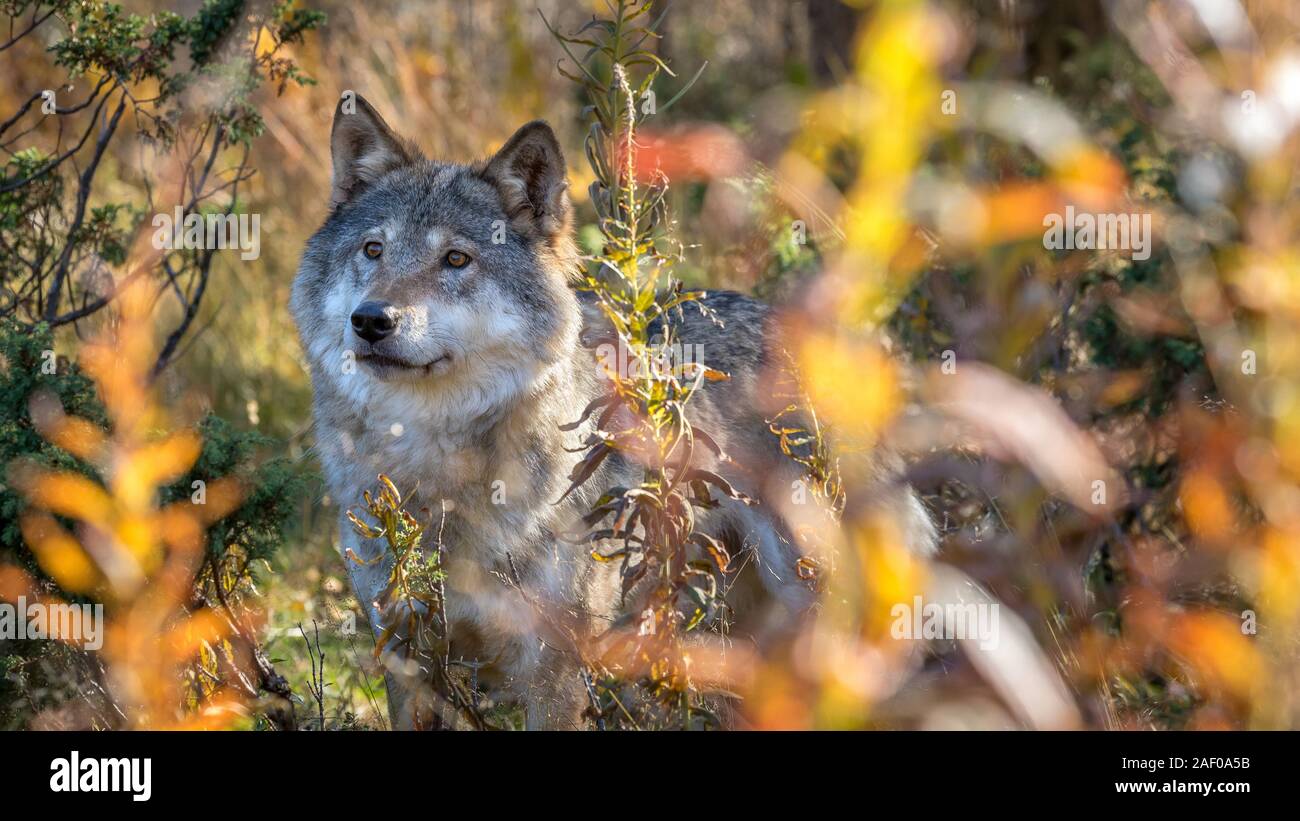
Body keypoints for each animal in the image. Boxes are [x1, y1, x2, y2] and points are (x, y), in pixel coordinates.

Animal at [291, 95, 936, 729]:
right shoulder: (404, 656)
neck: (435, 476)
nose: (371, 320)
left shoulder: (554, 671)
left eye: (456, 259)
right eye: (373, 250)